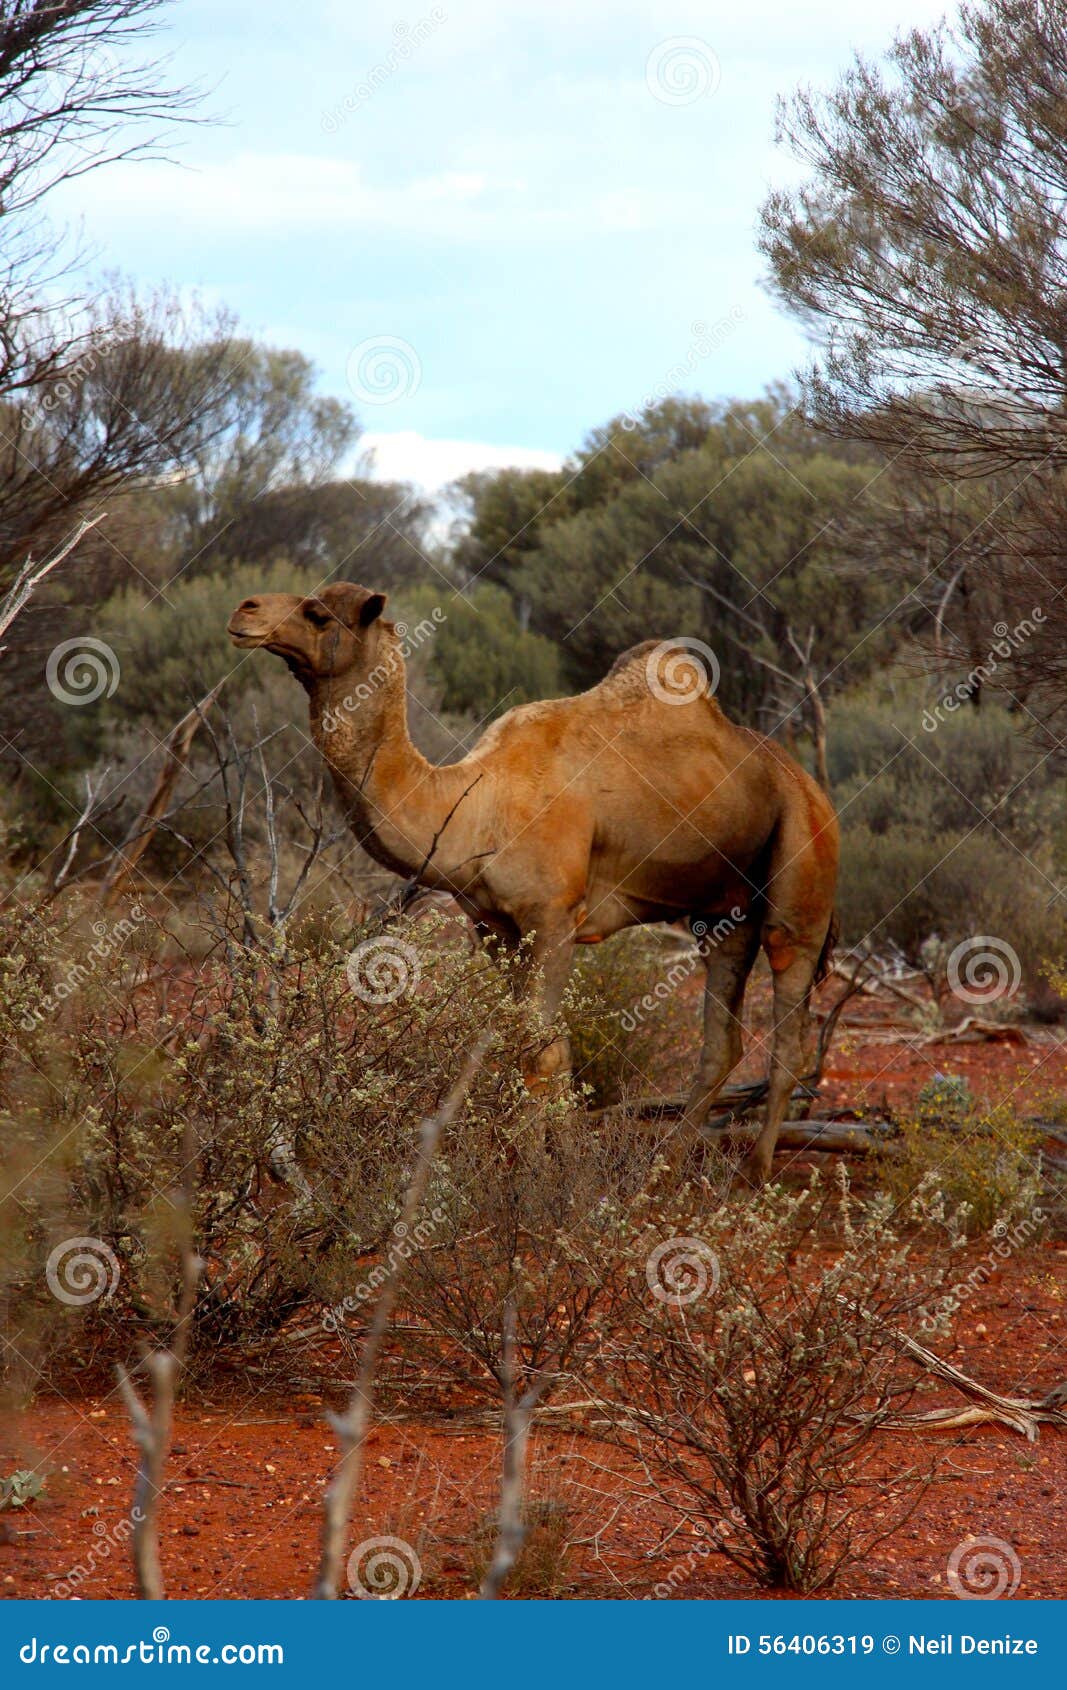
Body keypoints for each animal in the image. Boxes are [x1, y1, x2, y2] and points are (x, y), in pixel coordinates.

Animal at [227, 581, 839, 1183]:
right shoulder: (495, 926)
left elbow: (543, 1050)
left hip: (802, 865)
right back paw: (663, 1168)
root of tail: (804, 780)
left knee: (789, 1018)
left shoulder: (553, 916)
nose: (244, 610)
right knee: (722, 1038)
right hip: (723, 910)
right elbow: (528, 1043)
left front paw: (550, 1173)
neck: (471, 802)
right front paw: (535, 1163)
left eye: (319, 613)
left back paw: (753, 1173)